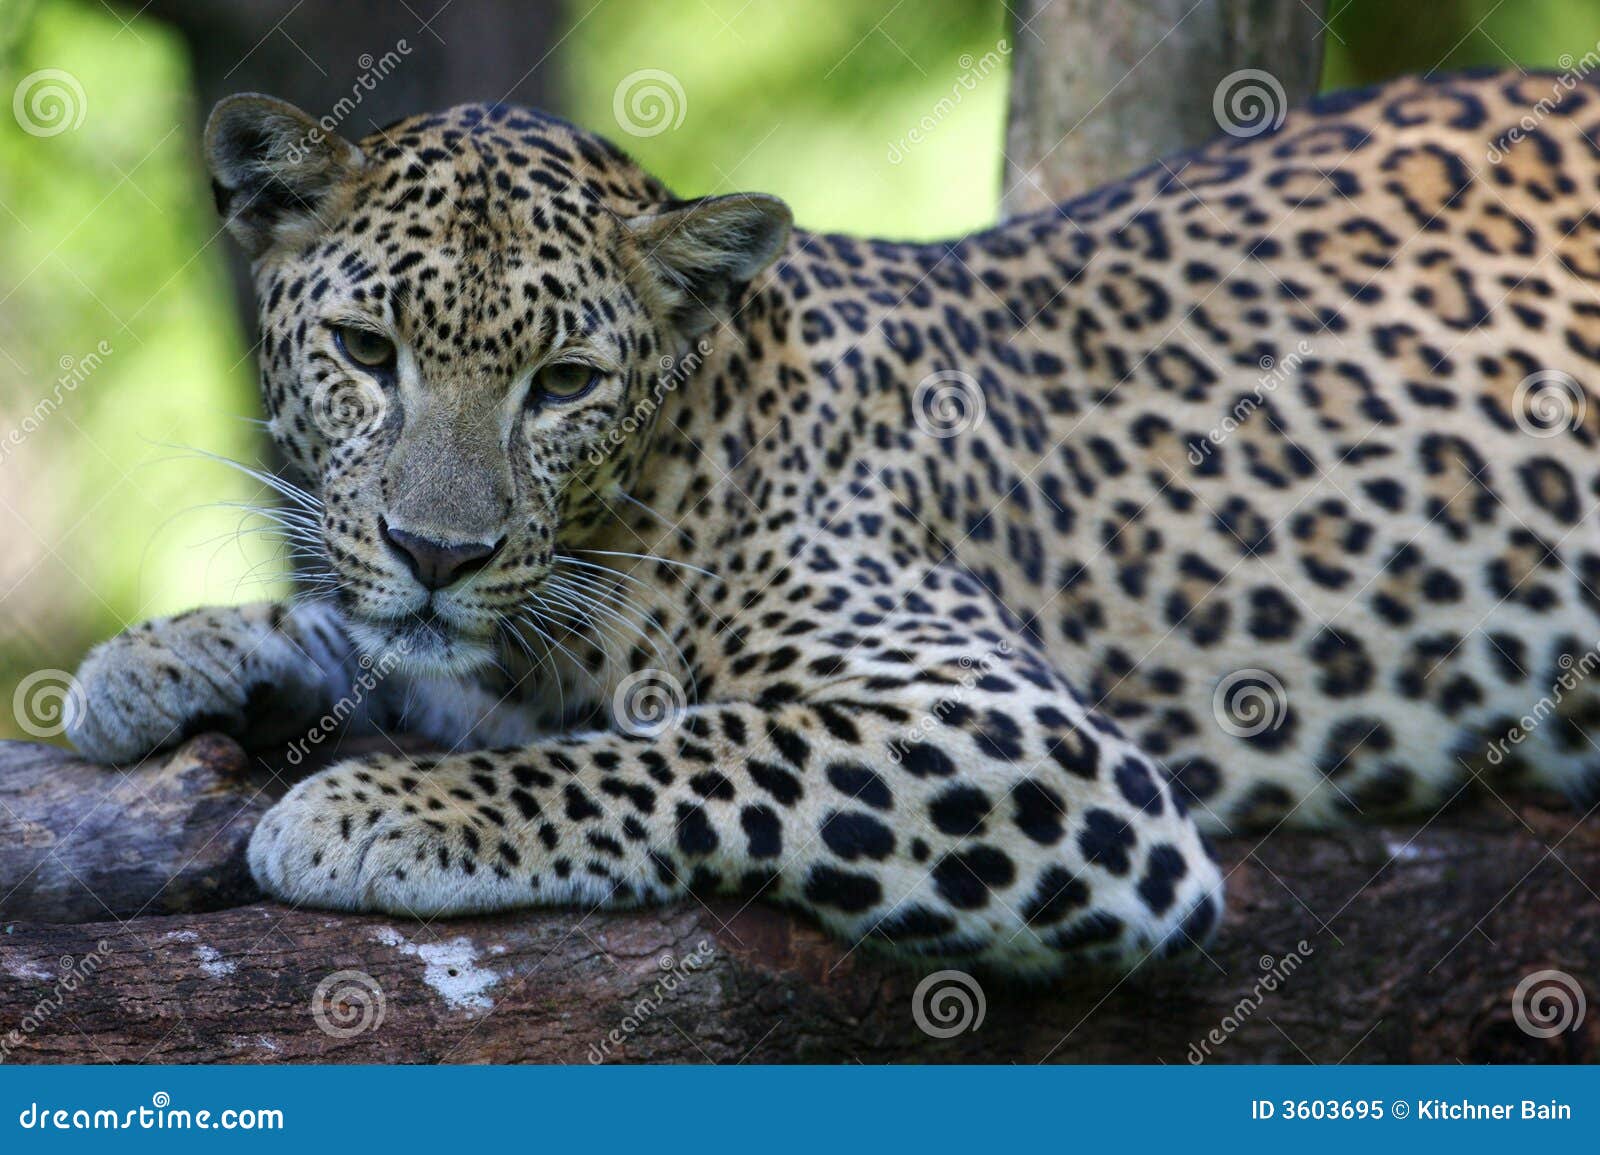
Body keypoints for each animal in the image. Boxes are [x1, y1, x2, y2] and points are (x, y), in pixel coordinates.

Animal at [64, 71, 1600, 978]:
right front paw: (161, 657)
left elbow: (681, 749)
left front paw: (388, 809)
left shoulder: (1044, 751)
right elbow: (373, 638)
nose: (442, 552)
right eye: (365, 350)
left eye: (562, 384)